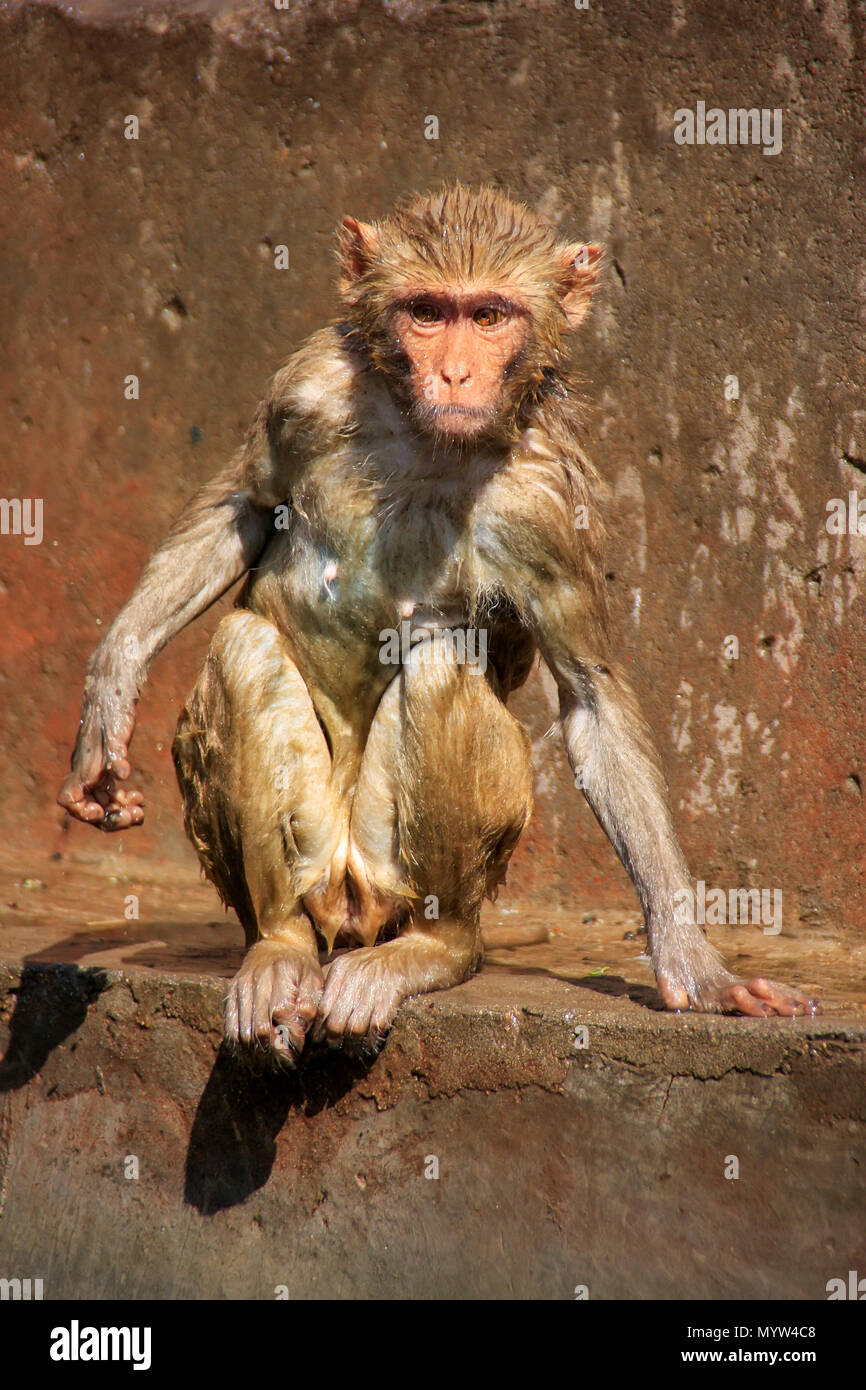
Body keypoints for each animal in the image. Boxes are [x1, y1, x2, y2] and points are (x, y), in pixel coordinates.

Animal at [58, 183, 817, 1062]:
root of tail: (350, 908)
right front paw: (110, 689)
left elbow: (590, 700)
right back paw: (279, 950)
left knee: (439, 663)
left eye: (488, 316)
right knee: (244, 645)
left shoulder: (547, 506)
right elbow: (242, 505)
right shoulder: (307, 385)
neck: (428, 442)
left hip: (402, 873)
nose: (454, 371)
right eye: (427, 312)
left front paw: (697, 965)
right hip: (316, 864)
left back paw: (435, 948)